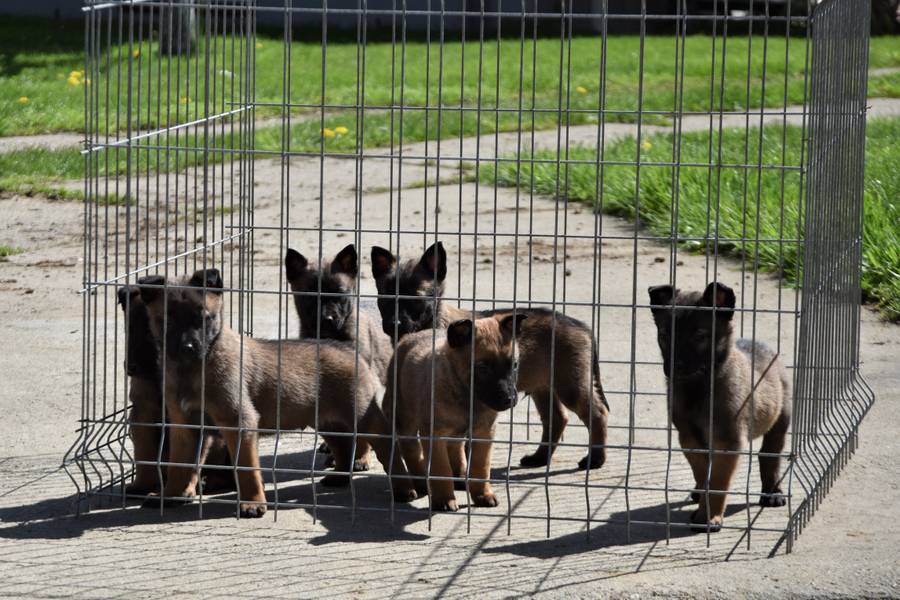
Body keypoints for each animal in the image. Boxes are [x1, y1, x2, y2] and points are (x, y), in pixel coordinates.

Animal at [116, 286, 234, 496]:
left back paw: (212, 480)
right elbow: (144, 452)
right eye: (129, 330)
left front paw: (183, 490)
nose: (131, 368)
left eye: (152, 335)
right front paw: (142, 484)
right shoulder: (143, 412)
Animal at [138, 270, 418, 516]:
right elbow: (179, 464)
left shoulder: (239, 422)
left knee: (388, 450)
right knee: (344, 447)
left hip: (363, 416)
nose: (188, 347)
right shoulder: (185, 427)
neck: (194, 368)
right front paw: (171, 494)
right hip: (327, 421)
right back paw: (340, 477)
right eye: (167, 321)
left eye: (204, 318)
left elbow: (246, 468)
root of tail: (347, 348)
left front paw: (252, 504)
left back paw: (404, 490)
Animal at [370, 241, 608, 472]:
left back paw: (594, 459)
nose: (393, 324)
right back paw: (539, 458)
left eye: (415, 299)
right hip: (543, 387)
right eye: (385, 298)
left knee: (597, 414)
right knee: (557, 419)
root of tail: (582, 327)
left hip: (570, 384)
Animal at [386, 314, 528, 510]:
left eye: (514, 365)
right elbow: (440, 469)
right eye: (483, 368)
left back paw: (460, 476)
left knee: (455, 447)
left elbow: (480, 466)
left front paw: (482, 494)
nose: (510, 399)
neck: (467, 395)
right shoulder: (435, 435)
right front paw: (444, 499)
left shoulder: (484, 432)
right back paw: (422, 481)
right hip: (404, 418)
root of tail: (409, 337)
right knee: (411, 449)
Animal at [652, 282, 792, 528]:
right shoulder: (689, 438)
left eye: (700, 336)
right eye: (664, 334)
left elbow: (717, 482)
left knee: (769, 455)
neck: (699, 386)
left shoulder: (727, 441)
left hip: (780, 420)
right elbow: (702, 472)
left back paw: (772, 493)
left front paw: (708, 517)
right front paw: (703, 498)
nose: (675, 366)